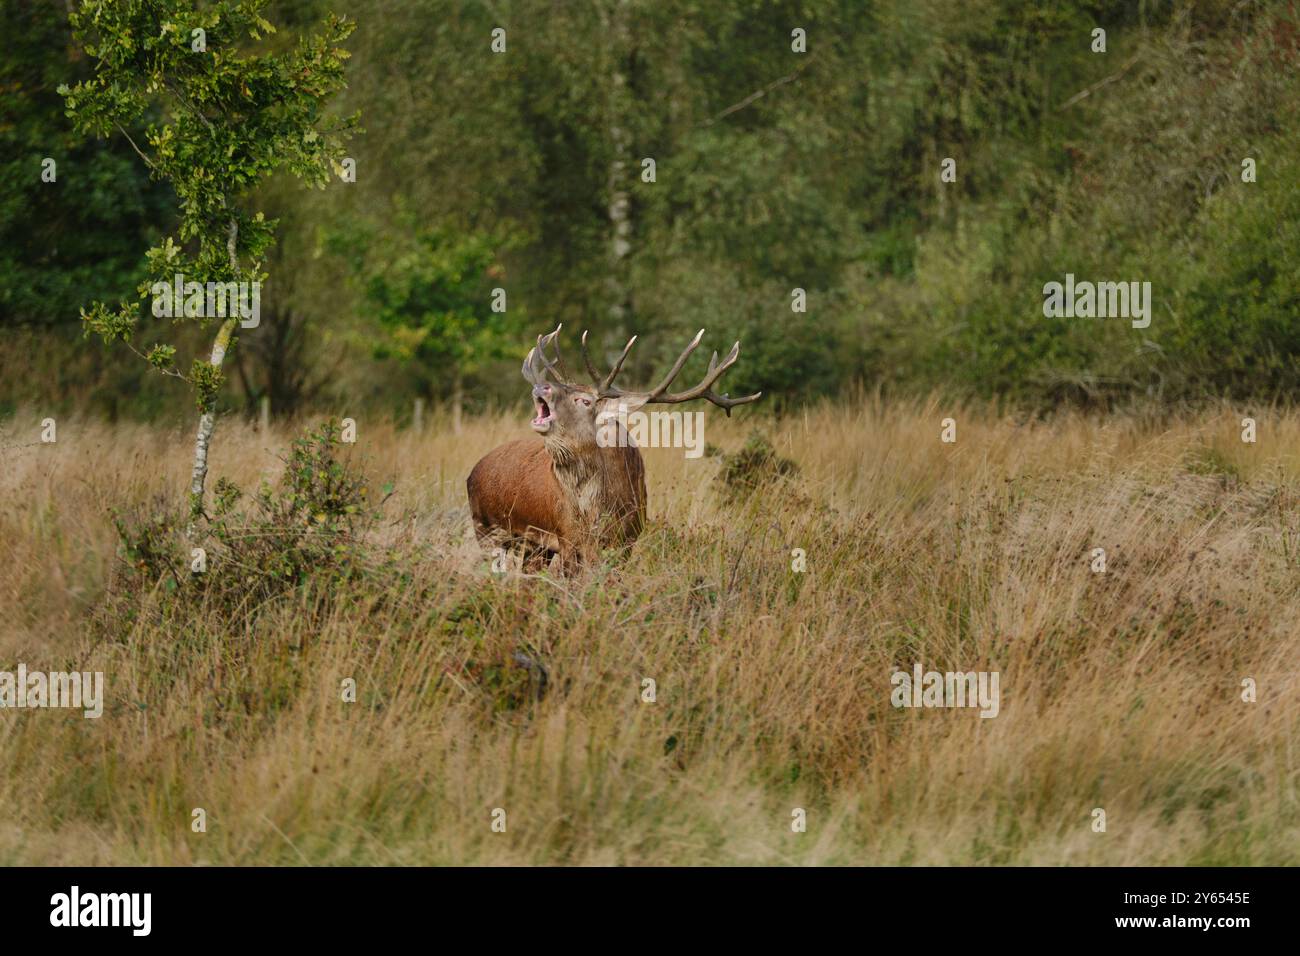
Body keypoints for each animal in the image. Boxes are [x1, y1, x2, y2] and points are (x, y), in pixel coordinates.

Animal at [466, 325, 761, 573]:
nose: (542, 386)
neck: (604, 507)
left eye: (584, 400)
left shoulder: (629, 539)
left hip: (533, 545)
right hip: (485, 526)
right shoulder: (568, 535)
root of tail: (474, 470)